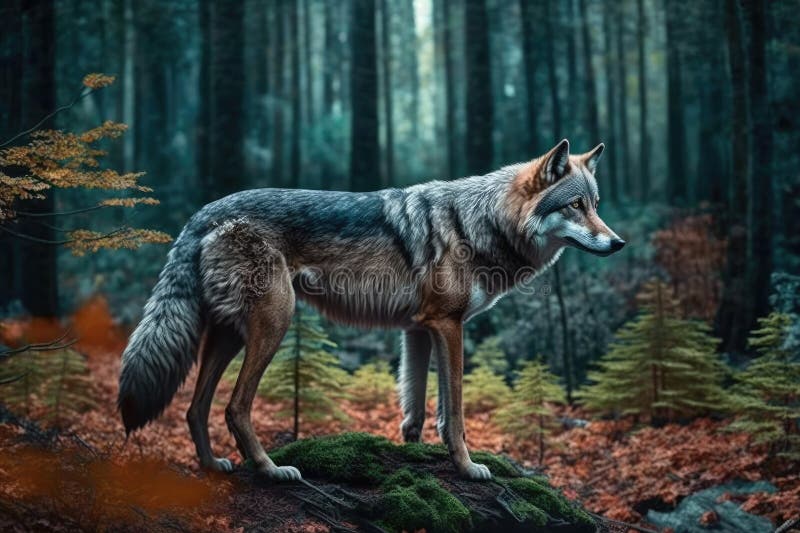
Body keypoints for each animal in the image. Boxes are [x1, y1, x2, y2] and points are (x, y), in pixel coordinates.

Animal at [118, 139, 624, 481]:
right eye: (575, 205)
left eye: (596, 205)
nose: (618, 243)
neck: (479, 221)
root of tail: (203, 213)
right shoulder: (449, 326)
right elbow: (456, 414)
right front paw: (468, 468)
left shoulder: (418, 331)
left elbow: (418, 413)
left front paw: (418, 461)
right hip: (273, 324)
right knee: (235, 408)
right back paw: (271, 470)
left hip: (228, 335)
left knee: (195, 408)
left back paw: (211, 466)